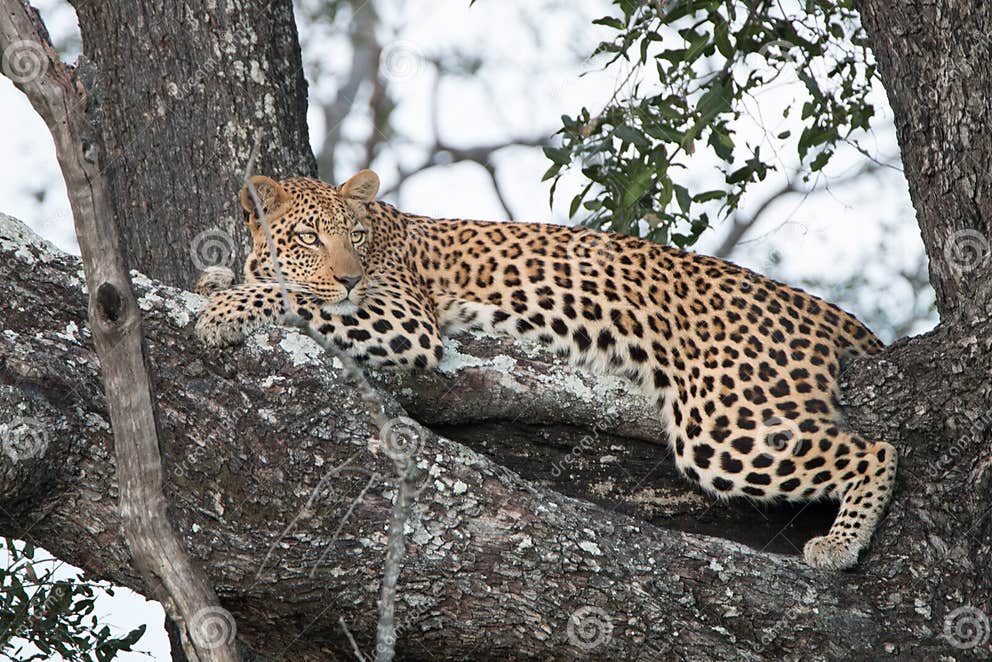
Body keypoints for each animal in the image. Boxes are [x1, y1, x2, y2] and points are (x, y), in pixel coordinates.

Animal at [195, 170, 897, 571]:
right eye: (309, 238)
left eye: (356, 236)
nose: (348, 276)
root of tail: (808, 303)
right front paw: (219, 279)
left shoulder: (402, 314)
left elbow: (297, 298)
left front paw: (225, 309)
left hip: (728, 423)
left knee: (877, 449)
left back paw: (840, 545)